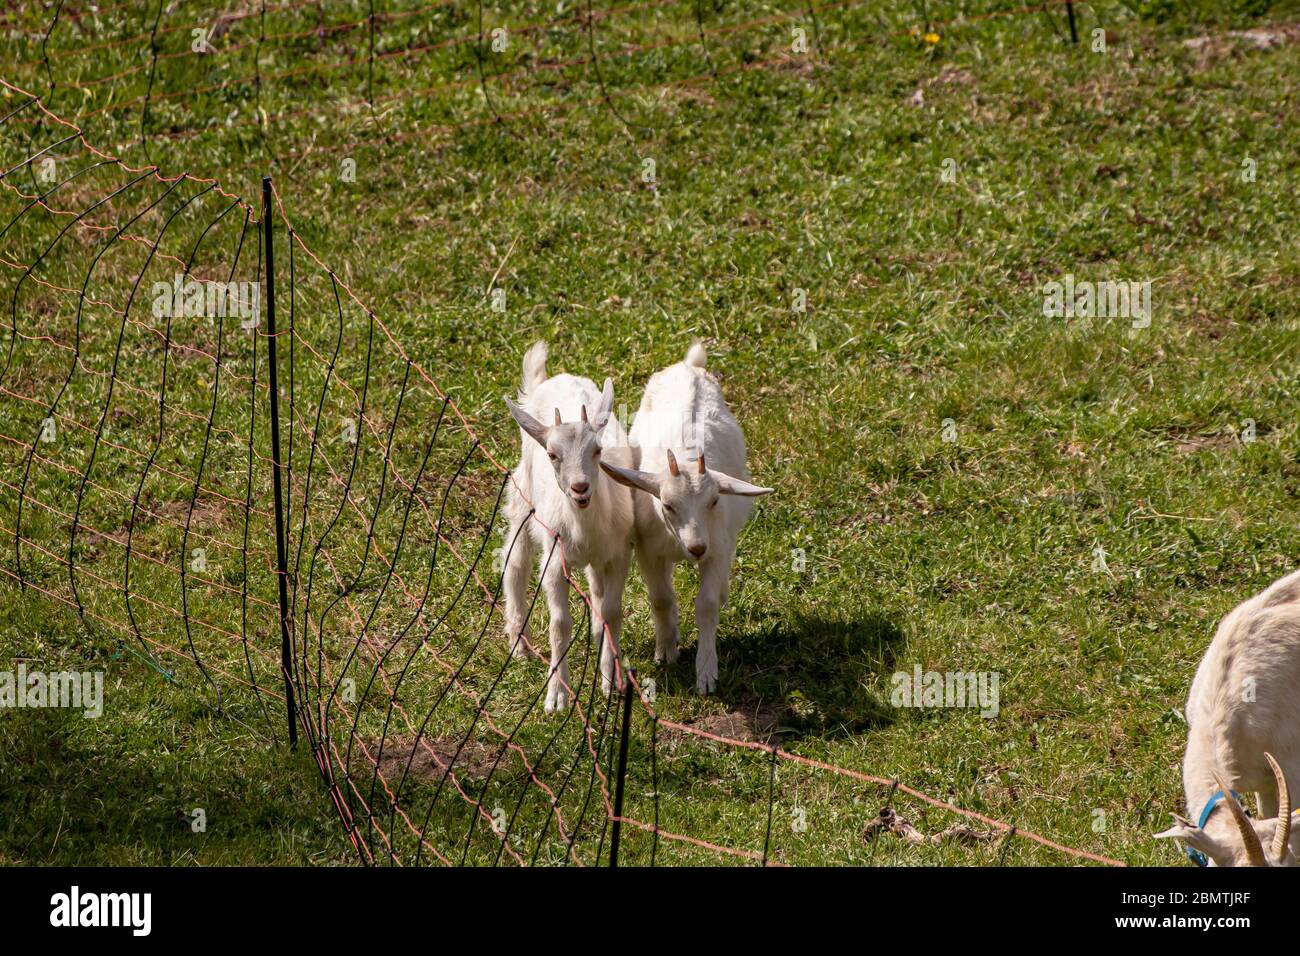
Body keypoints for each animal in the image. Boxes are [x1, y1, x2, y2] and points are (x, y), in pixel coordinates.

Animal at [502, 342, 635, 711]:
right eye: (552, 454)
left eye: (598, 450)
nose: (580, 487)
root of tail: (552, 378)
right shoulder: (553, 558)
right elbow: (560, 623)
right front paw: (557, 695)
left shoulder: (618, 554)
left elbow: (611, 612)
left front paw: (609, 681)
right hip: (523, 499)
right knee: (514, 563)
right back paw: (519, 643)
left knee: (596, 594)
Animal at [600, 342, 771, 694]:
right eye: (667, 504)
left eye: (715, 500)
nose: (696, 549)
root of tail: (687, 366)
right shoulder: (649, 551)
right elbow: (661, 598)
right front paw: (666, 651)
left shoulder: (716, 547)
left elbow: (706, 604)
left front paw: (706, 672)